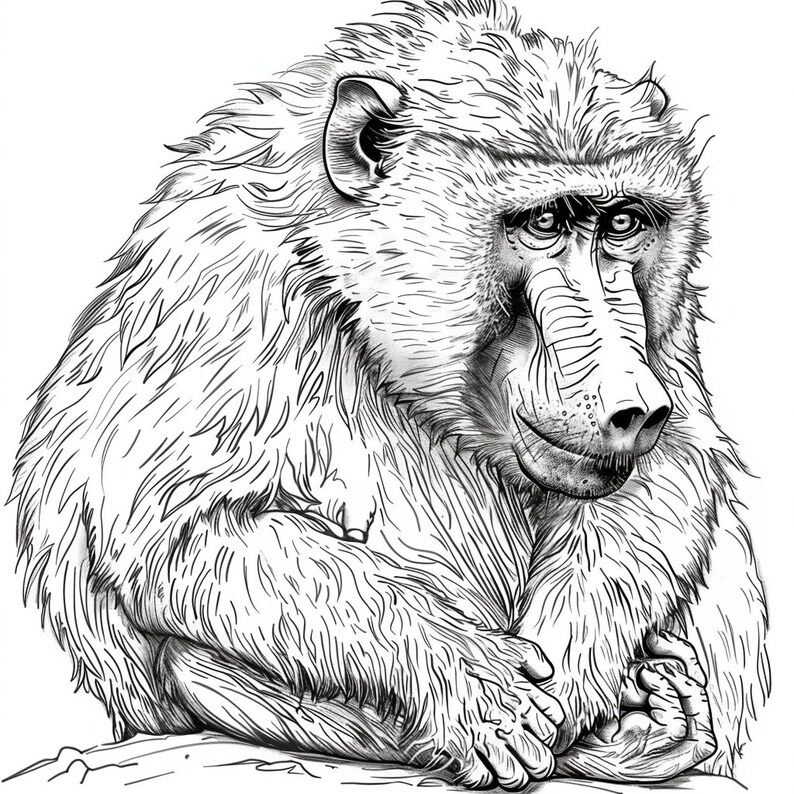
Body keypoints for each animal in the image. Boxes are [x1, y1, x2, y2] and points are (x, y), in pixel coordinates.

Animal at [11, 0, 768, 789]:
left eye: (622, 223)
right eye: (544, 223)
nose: (631, 403)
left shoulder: (664, 319)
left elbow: (670, 468)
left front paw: (575, 683)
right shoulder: (229, 284)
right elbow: (165, 531)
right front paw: (473, 679)